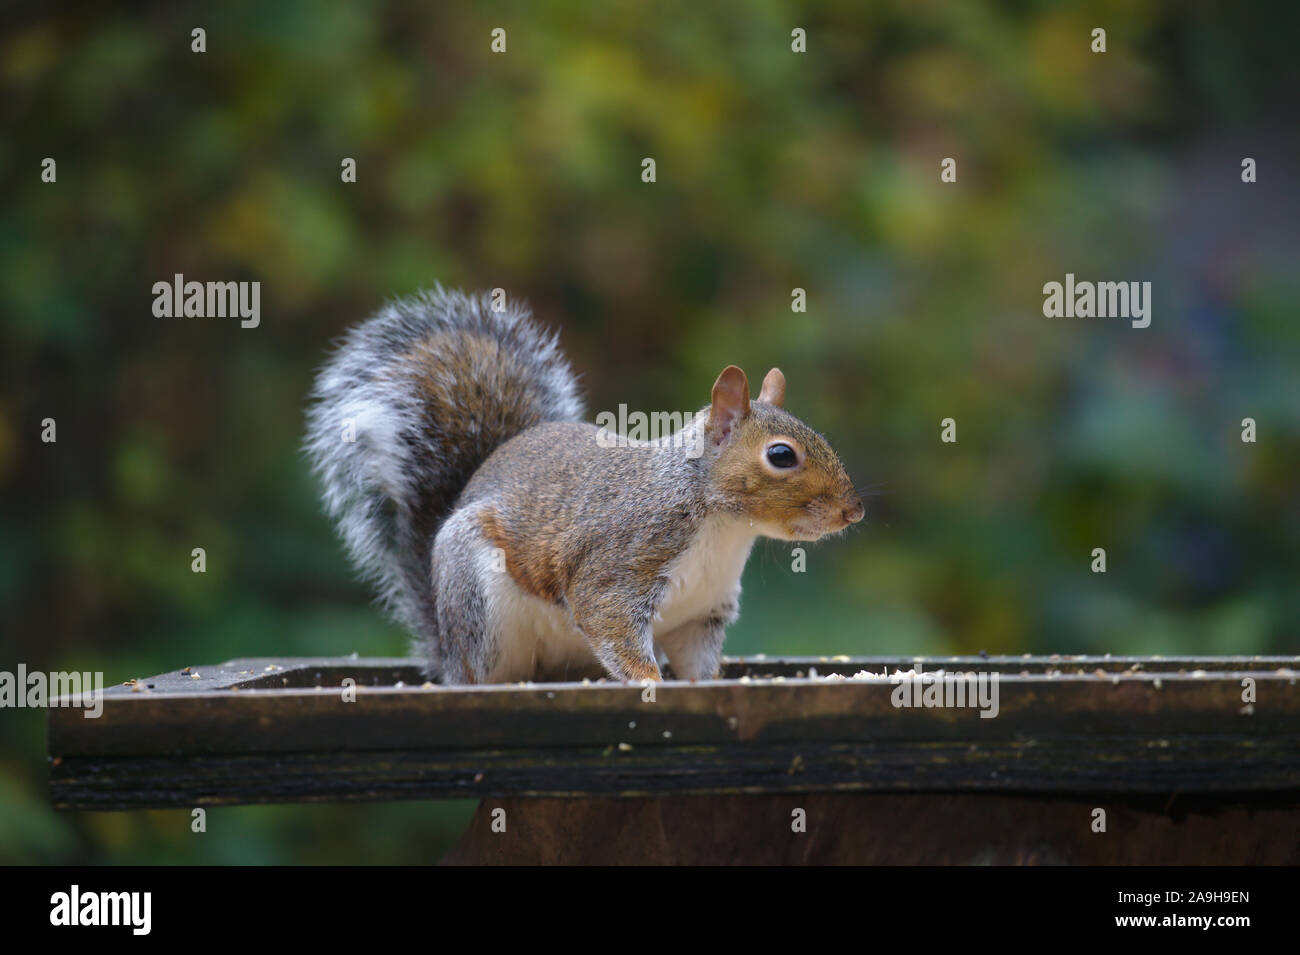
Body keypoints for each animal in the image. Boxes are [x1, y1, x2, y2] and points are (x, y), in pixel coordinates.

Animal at [305, 286, 863, 685]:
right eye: (781, 456)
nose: (853, 511)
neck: (722, 527)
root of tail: (445, 650)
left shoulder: (701, 613)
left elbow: (696, 662)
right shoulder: (620, 566)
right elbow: (609, 619)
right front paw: (649, 681)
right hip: (478, 604)